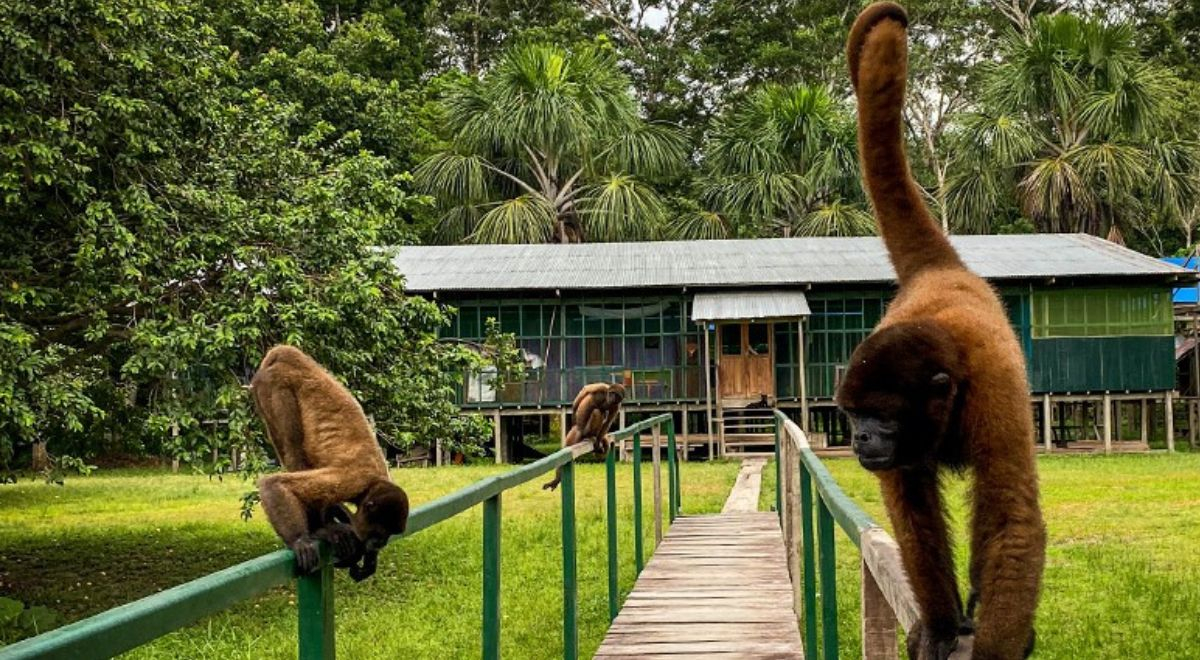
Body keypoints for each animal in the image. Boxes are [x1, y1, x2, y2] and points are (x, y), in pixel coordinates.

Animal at [251, 345, 410, 581]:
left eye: (391, 534)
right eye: (381, 532)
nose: (381, 544)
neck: (374, 482)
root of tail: (290, 357)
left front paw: (369, 557)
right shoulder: (353, 479)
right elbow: (276, 484)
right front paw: (301, 539)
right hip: (274, 385)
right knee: (293, 449)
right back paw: (320, 529)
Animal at [837, 4, 1045, 660]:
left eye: (880, 416)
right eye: (853, 416)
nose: (859, 439)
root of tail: (941, 270)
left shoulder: (995, 391)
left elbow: (1009, 518)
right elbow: (913, 513)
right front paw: (939, 623)